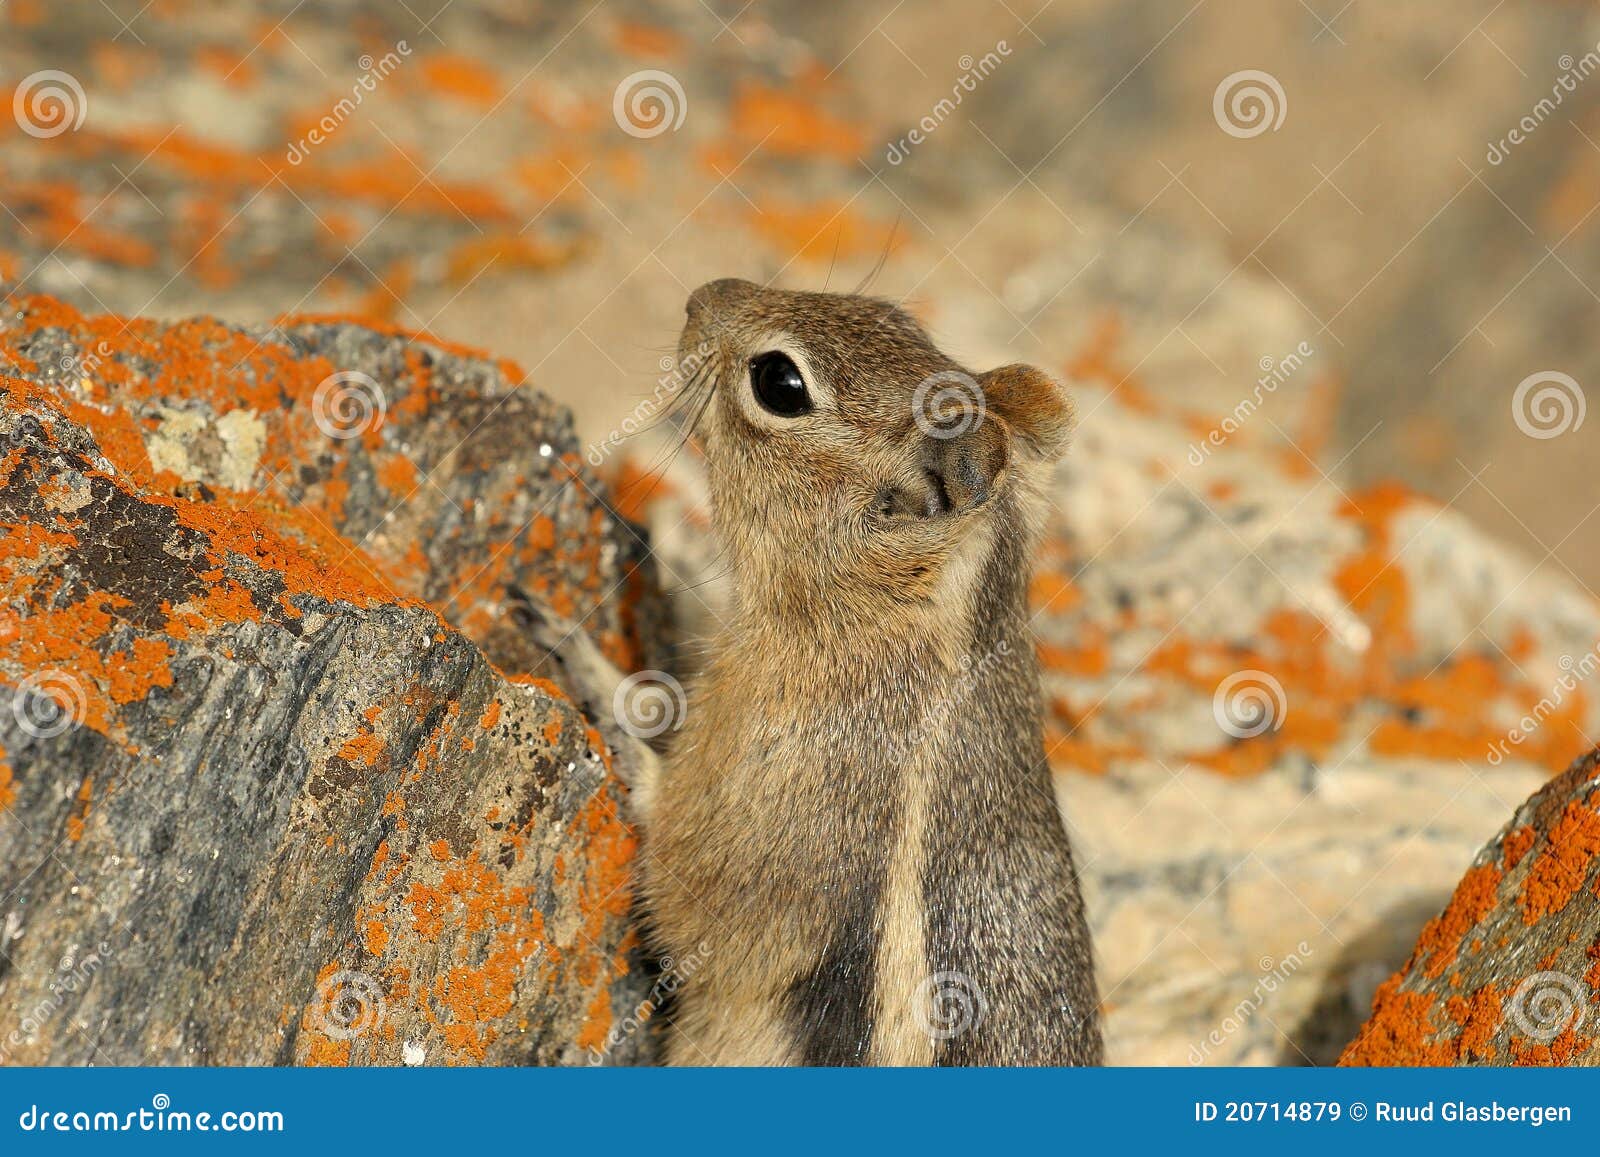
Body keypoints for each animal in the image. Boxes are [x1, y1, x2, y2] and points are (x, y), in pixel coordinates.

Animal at [527, 277, 1102, 1066]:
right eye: (891, 312)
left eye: (780, 382)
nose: (704, 296)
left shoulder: (738, 794)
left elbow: (666, 841)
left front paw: (577, 650)